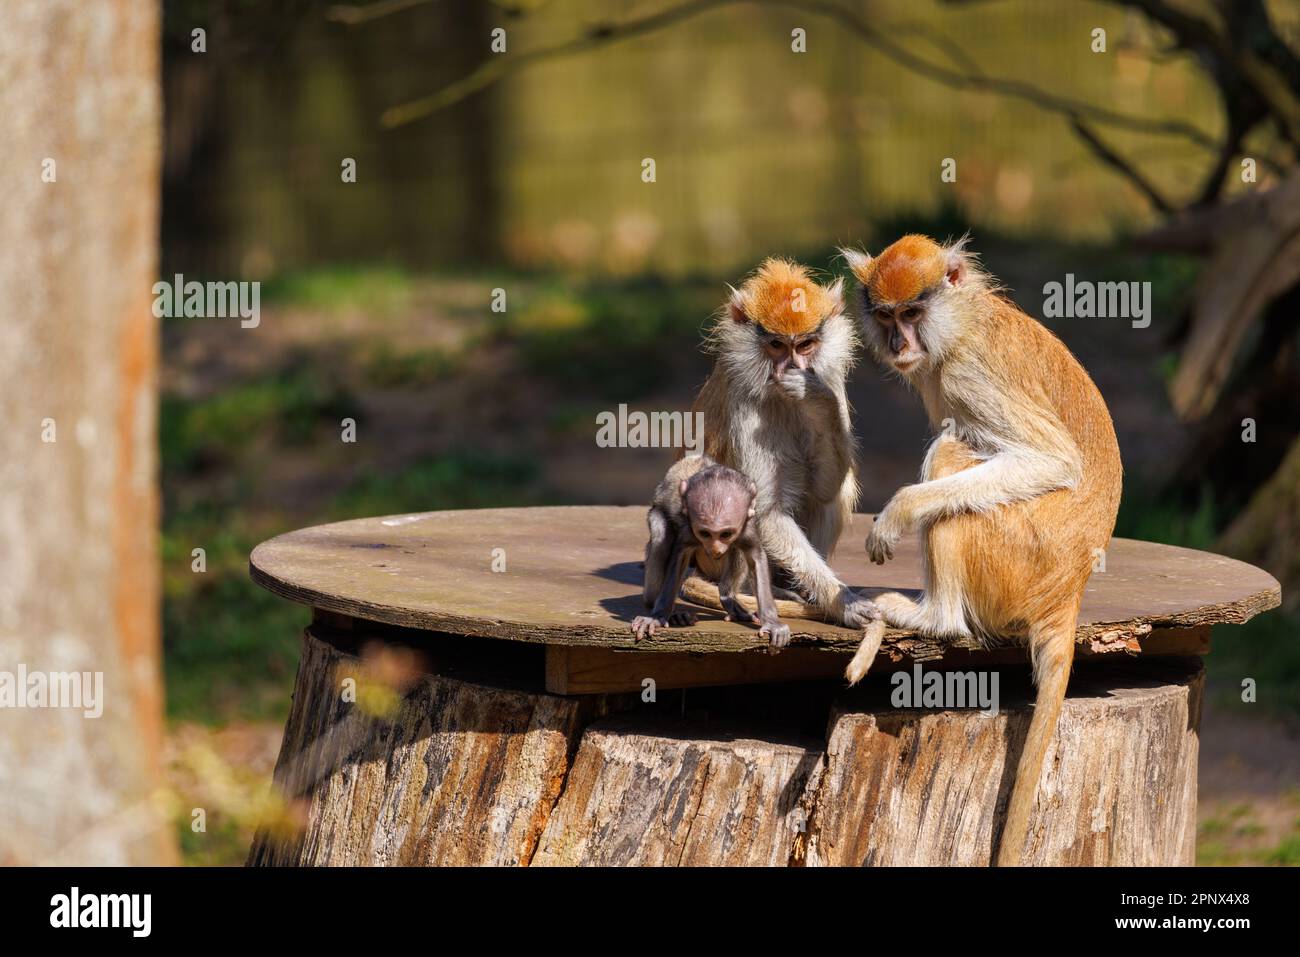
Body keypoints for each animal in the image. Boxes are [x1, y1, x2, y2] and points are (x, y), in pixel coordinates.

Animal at [635, 454, 792, 651]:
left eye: (725, 534)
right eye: (705, 533)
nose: (715, 548)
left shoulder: (746, 525)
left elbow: (755, 556)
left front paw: (771, 622)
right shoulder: (689, 527)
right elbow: (679, 558)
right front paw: (658, 616)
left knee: (736, 549)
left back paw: (727, 597)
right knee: (661, 534)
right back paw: (663, 607)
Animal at [687, 258, 882, 632]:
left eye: (805, 345)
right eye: (777, 345)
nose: (792, 366)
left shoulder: (831, 379)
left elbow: (827, 487)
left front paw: (813, 395)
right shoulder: (744, 400)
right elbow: (765, 511)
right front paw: (843, 603)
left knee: (834, 493)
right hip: (710, 555)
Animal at [838, 234, 1122, 866]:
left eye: (913, 313)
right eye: (886, 316)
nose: (899, 343)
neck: (962, 321)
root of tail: (1068, 593)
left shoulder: (969, 373)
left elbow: (1049, 460)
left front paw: (896, 513)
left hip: (1019, 550)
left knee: (950, 452)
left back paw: (935, 616)